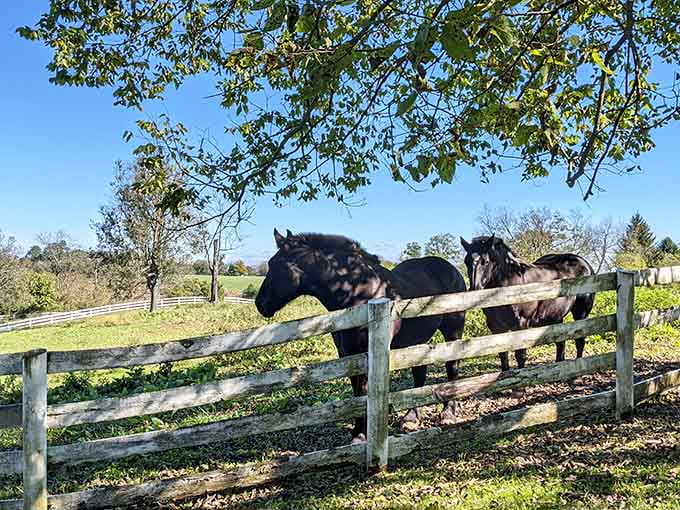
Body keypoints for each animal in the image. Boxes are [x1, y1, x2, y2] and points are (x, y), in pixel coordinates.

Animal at [255, 229, 467, 441]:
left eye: (274, 264)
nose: (260, 304)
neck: (358, 292)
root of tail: (451, 269)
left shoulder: (367, 352)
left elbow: (364, 391)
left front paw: (362, 434)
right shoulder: (348, 354)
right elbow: (357, 394)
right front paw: (358, 433)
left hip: (453, 332)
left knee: (452, 366)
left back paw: (449, 411)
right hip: (416, 340)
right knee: (419, 372)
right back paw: (411, 417)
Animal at [460, 235, 595, 371]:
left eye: (486, 261)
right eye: (466, 261)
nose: (474, 290)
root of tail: (585, 264)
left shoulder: (521, 324)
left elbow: (520, 356)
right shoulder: (496, 327)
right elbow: (503, 355)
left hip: (581, 313)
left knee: (580, 340)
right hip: (556, 316)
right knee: (560, 342)